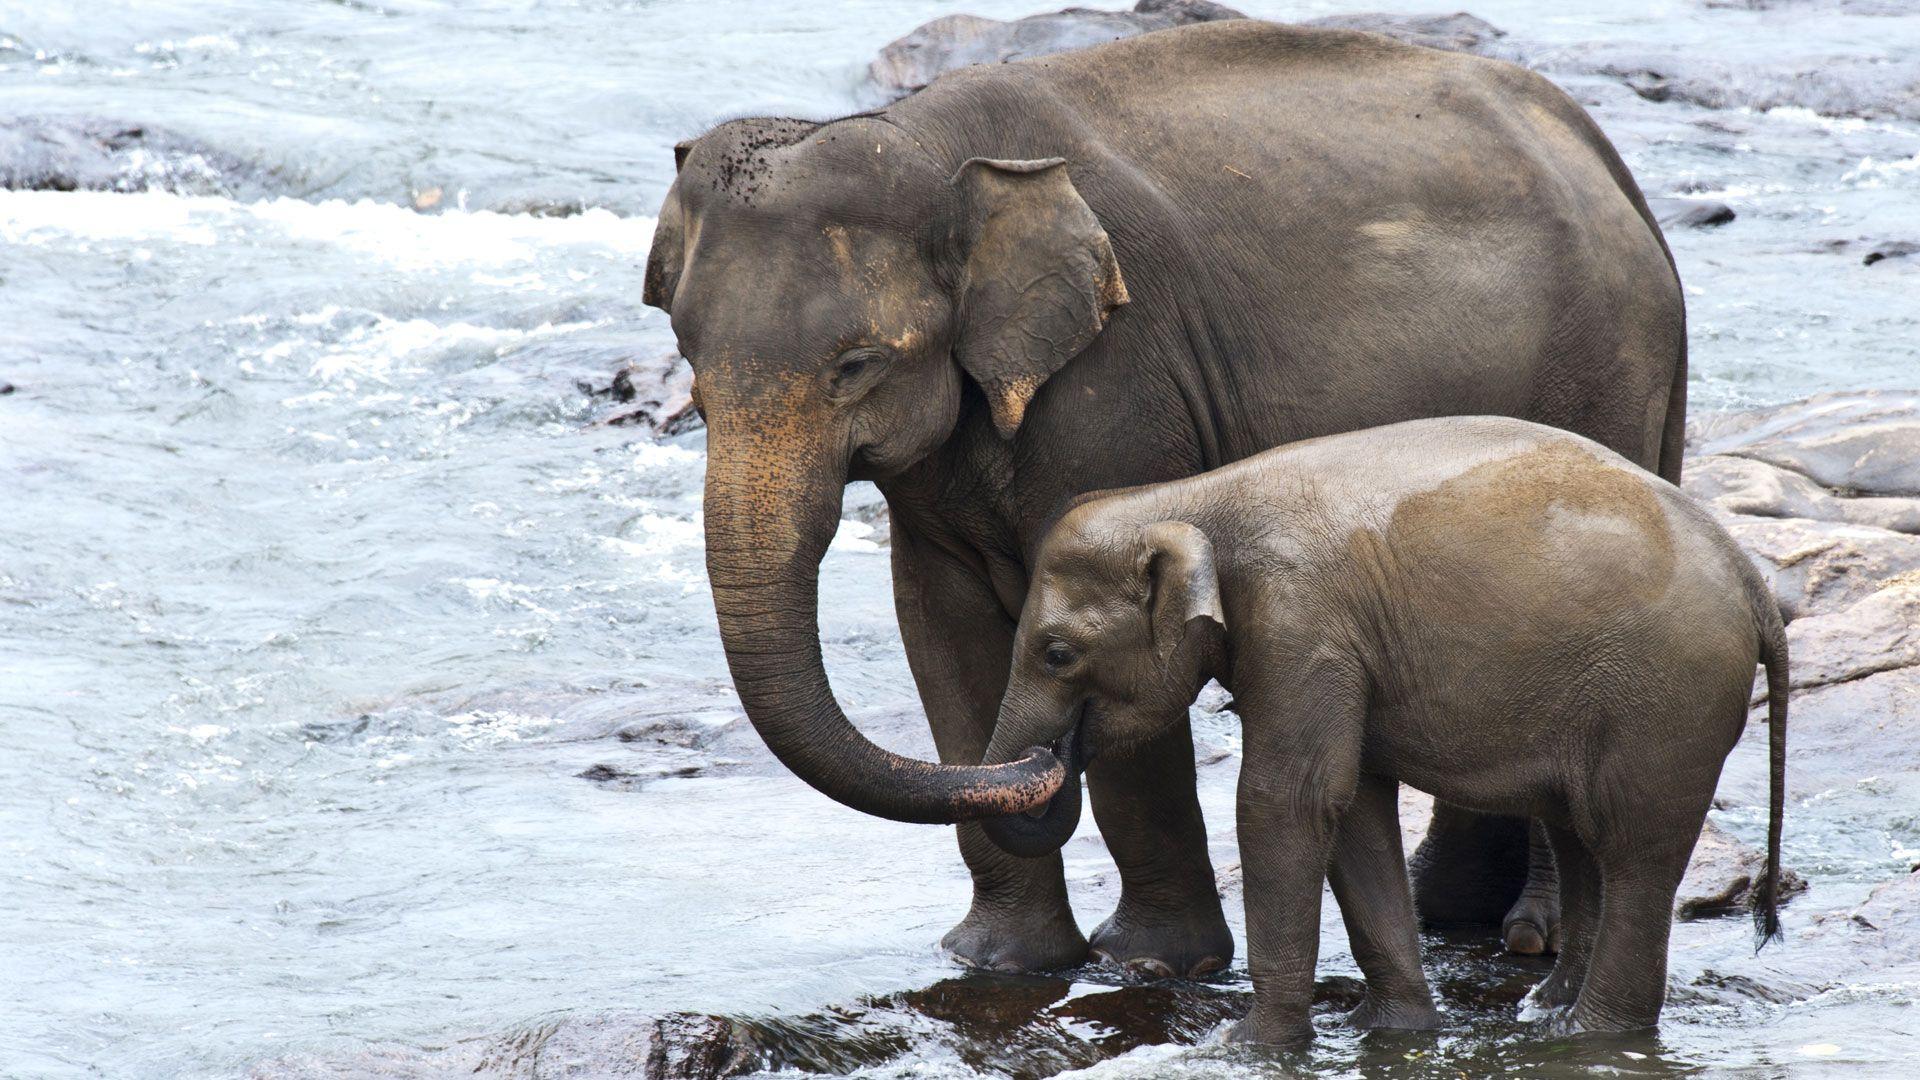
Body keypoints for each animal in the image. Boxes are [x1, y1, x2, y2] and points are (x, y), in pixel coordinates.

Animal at [643, 19, 1686, 976]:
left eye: (855, 364)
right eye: (689, 363)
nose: (1042, 762)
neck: (929, 141)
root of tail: (1613, 168)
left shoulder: (1118, 380)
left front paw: (1152, 962)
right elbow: (941, 635)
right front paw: (996, 960)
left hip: (1595, 380)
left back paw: (1526, 936)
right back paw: (1452, 913)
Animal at [852, 416, 1789, 1046]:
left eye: (1055, 652)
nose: (1055, 756)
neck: (1191, 498)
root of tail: (1753, 584)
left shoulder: (1302, 621)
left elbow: (1286, 800)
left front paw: (1244, 1047)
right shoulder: (1333, 647)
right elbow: (1355, 807)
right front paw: (1391, 1030)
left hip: (1665, 699)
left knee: (1632, 845)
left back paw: (1588, 1035)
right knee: (1580, 830)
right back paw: (1546, 1011)